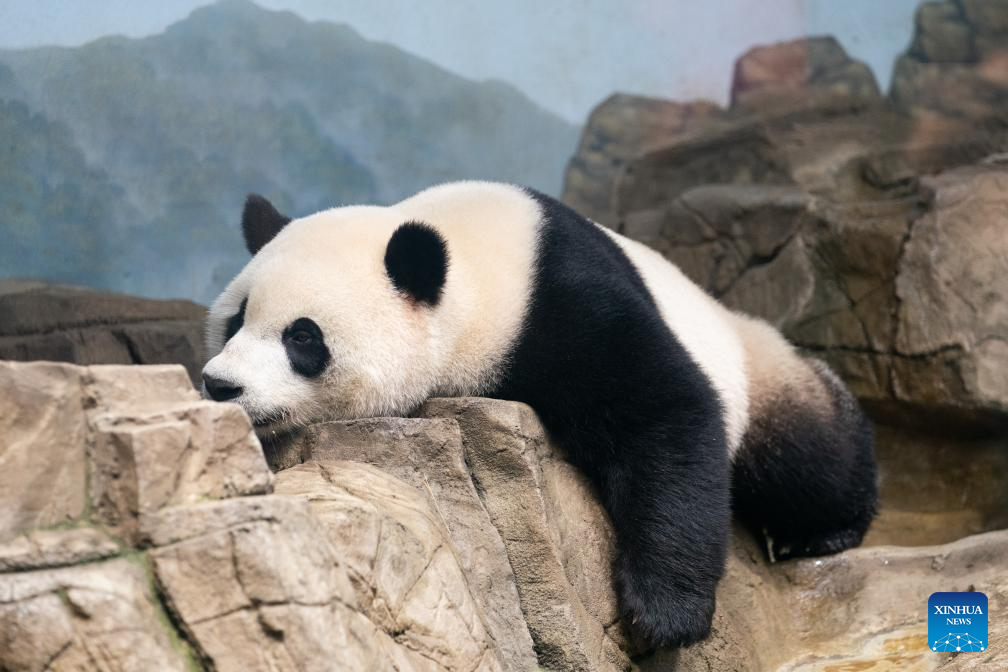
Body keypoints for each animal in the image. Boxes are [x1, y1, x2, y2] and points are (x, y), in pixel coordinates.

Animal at [202, 181, 877, 649]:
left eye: (302, 338)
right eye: (235, 320)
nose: (219, 384)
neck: (470, 272)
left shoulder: (563, 303)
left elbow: (666, 415)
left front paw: (663, 614)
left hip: (758, 372)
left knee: (808, 455)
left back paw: (822, 532)